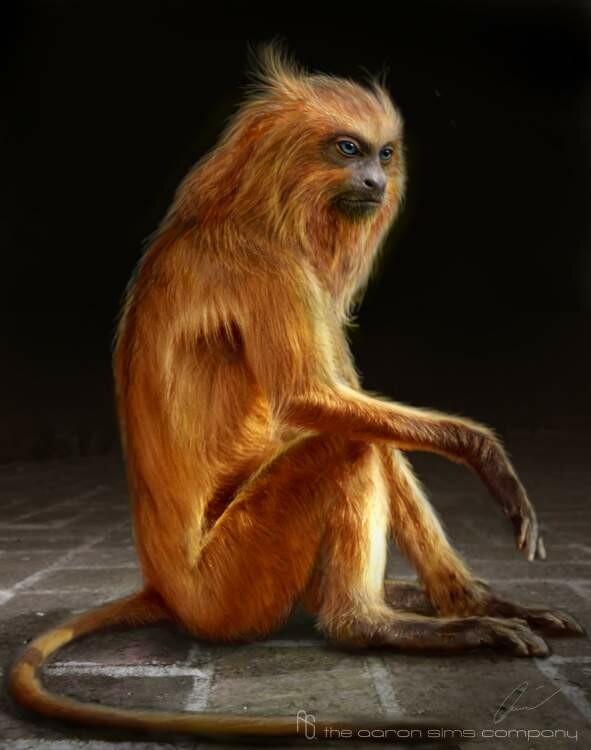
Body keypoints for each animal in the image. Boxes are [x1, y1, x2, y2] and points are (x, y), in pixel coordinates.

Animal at [10, 44, 584, 742]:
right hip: (228, 594)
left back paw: (444, 604)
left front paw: (479, 596)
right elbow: (310, 400)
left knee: (365, 441)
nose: (375, 182)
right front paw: (485, 452)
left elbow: (346, 410)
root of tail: (166, 591)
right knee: (348, 448)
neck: (249, 210)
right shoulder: (267, 264)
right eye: (348, 149)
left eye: (384, 154)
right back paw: (371, 623)